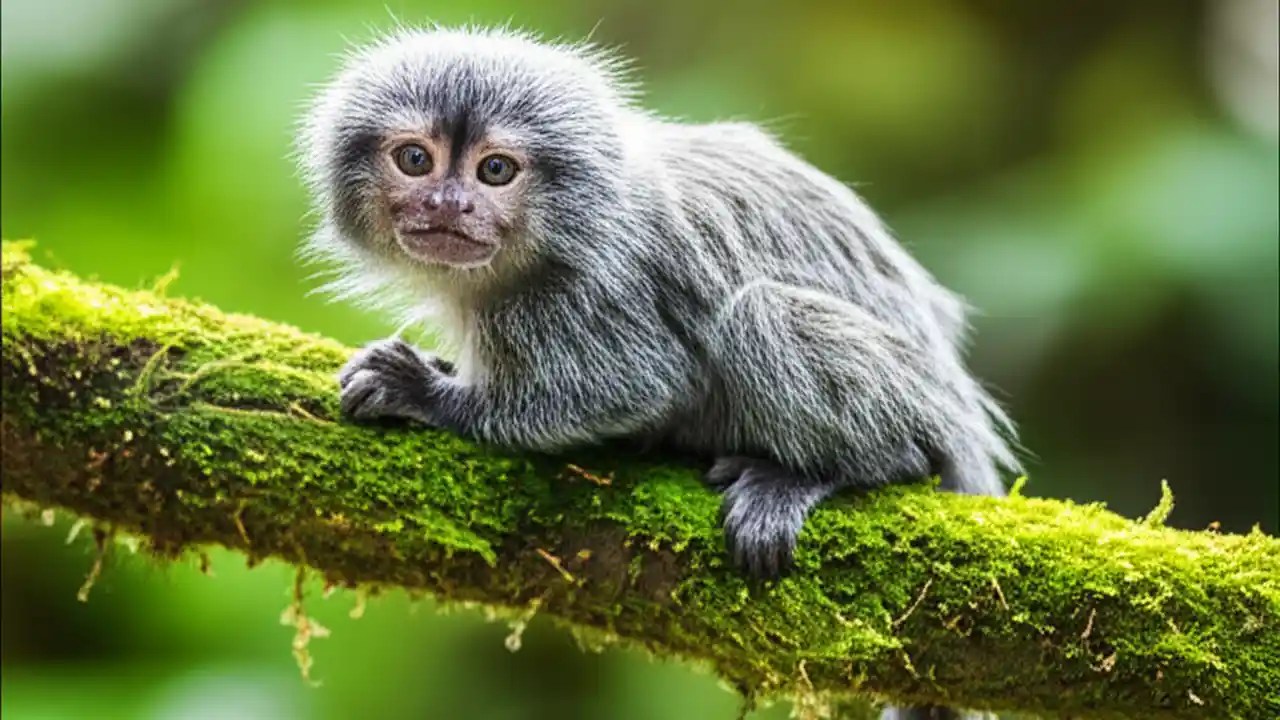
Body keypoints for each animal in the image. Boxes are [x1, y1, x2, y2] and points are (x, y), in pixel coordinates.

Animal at [299, 25, 1019, 584]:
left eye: (495, 171)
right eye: (415, 160)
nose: (449, 205)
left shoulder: (583, 293)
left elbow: (637, 385)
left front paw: (427, 394)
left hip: (923, 408)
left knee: (764, 315)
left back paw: (836, 472)